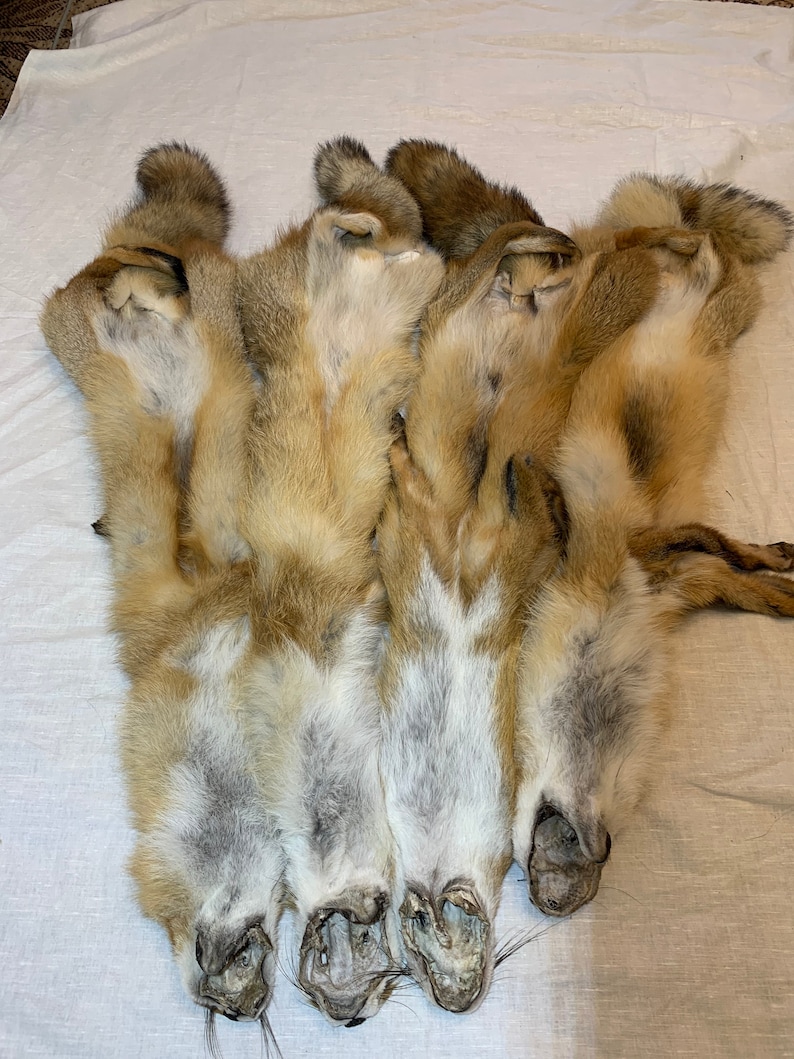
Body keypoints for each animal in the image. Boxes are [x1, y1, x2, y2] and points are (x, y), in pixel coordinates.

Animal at [39, 144, 288, 1038]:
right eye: (223, 1003)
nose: (240, 1008)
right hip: (85, 344)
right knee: (118, 269)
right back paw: (140, 282)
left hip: (196, 378)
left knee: (135, 265)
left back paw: (147, 280)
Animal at [512, 176, 794, 919]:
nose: (558, 905)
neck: (620, 607)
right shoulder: (647, 561)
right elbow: (733, 570)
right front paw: (779, 573)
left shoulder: (650, 560)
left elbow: (733, 557)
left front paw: (775, 560)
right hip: (724, 299)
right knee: (680, 240)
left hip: (720, 295)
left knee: (678, 236)